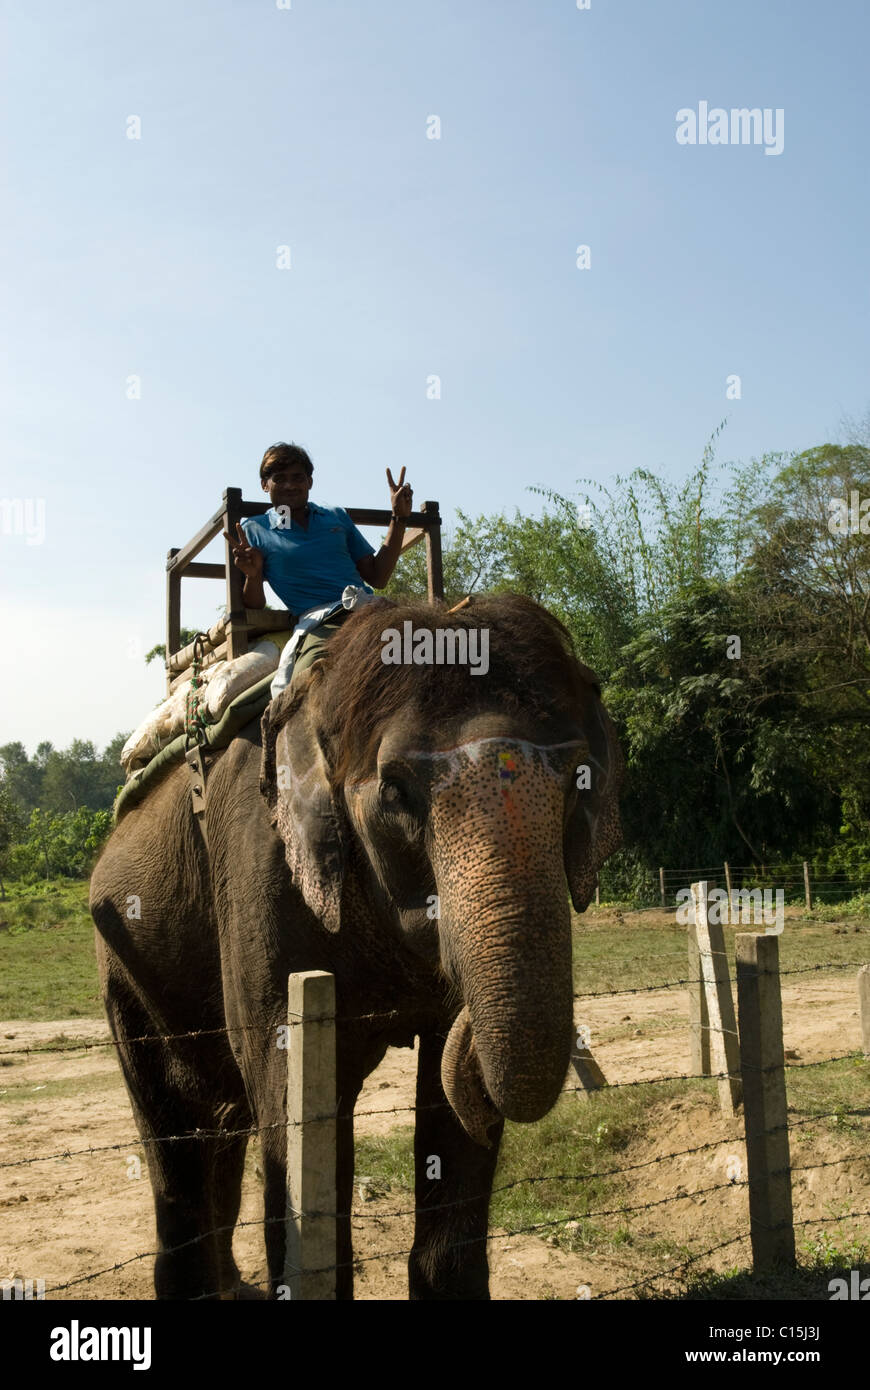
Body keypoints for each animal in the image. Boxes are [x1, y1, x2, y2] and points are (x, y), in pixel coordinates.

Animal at [90, 592, 623, 1300]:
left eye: (576, 780)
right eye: (395, 791)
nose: (454, 990)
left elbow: (447, 1114)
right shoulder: (258, 867)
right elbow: (292, 1096)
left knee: (222, 1120)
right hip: (123, 966)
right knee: (175, 1129)